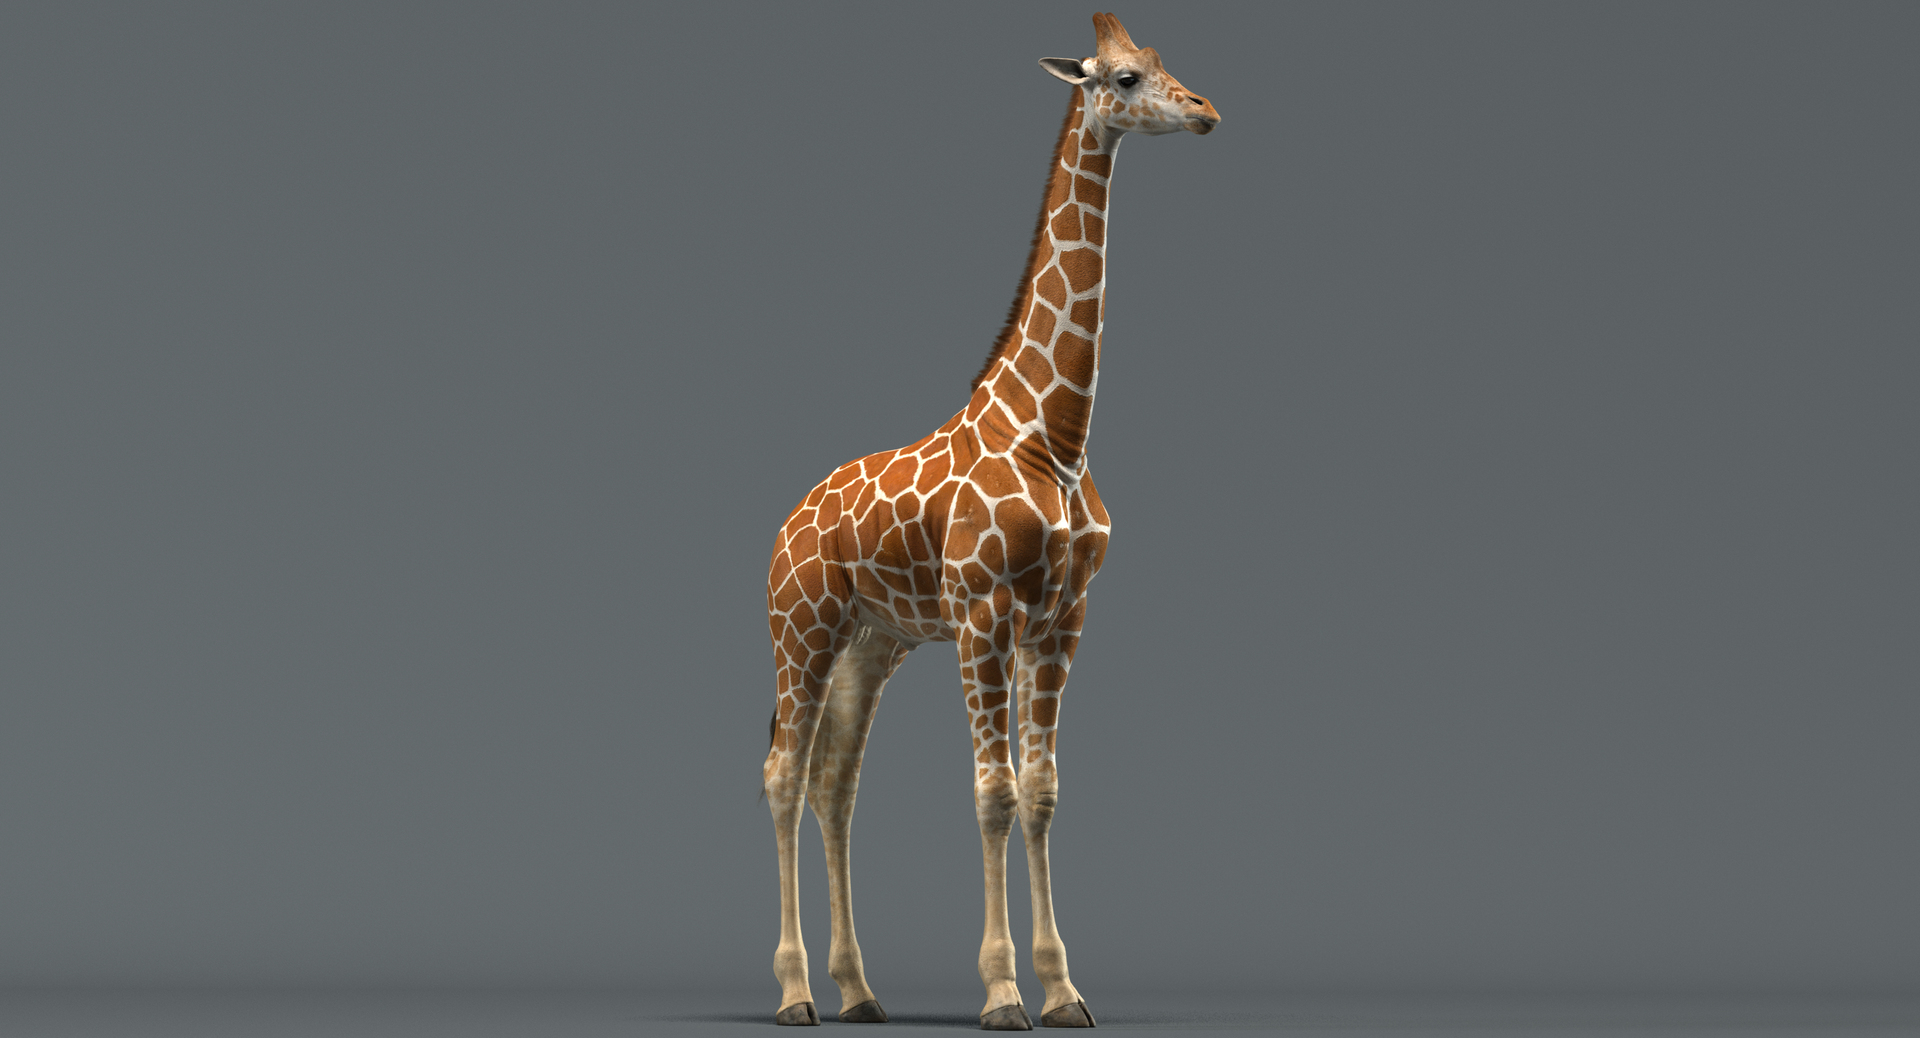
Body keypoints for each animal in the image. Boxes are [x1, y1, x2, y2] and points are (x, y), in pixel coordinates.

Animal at [761, 13, 1219, 1030]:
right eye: (1124, 79)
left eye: (1162, 62)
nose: (1208, 110)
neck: (1054, 433)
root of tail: (787, 523)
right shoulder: (983, 613)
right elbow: (992, 794)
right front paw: (1004, 990)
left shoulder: (1061, 618)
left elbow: (1041, 793)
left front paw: (1063, 989)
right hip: (800, 628)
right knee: (781, 776)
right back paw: (796, 991)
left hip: (874, 641)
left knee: (834, 786)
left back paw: (858, 989)